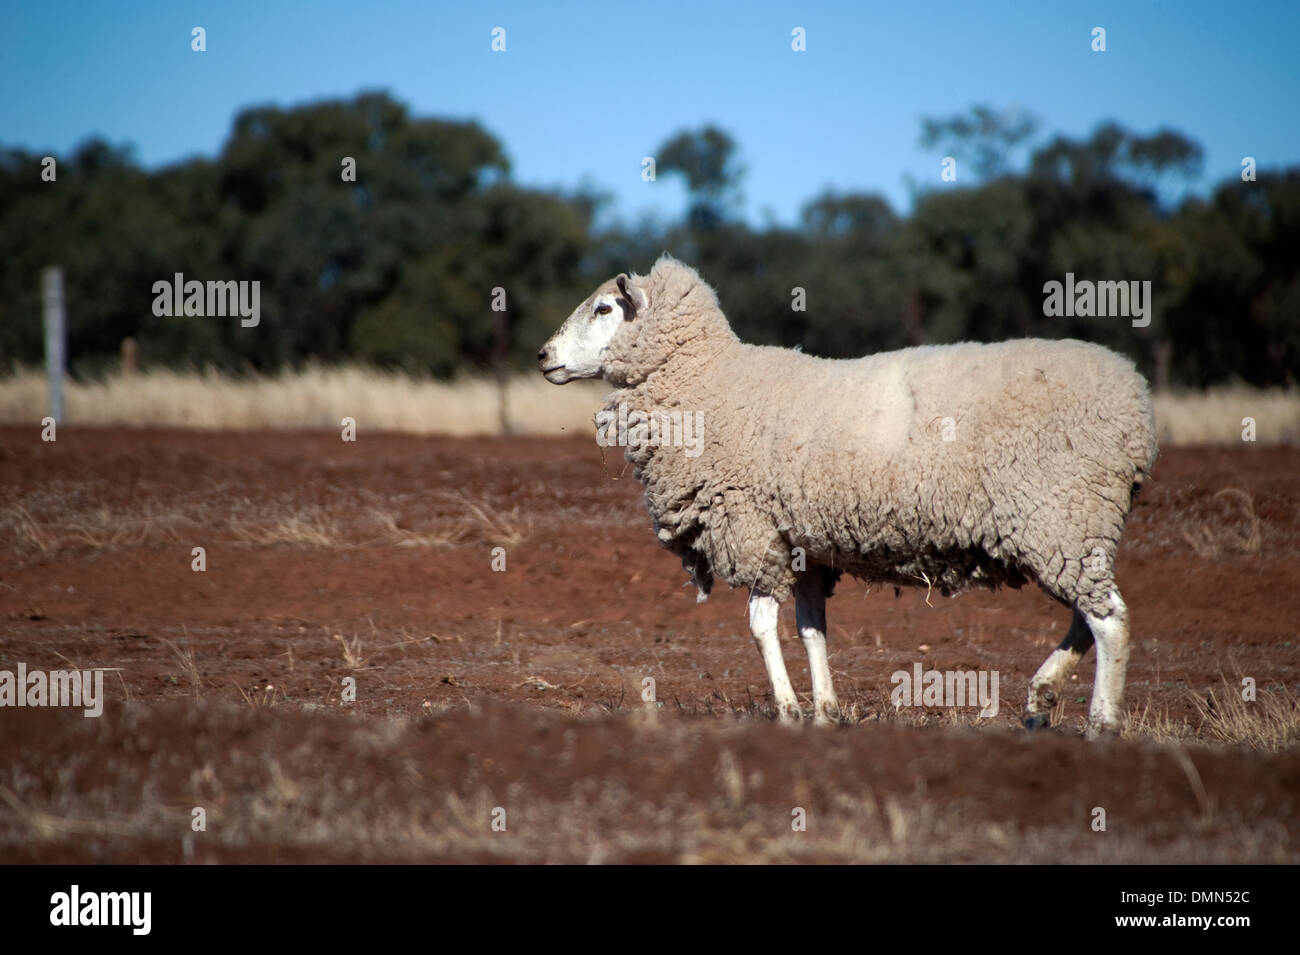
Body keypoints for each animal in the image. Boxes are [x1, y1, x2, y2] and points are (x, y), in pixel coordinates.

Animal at [538, 255, 1158, 737]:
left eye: (604, 309)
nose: (543, 356)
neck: (709, 383)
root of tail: (1137, 403)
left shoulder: (752, 529)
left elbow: (760, 624)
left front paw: (789, 710)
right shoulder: (803, 545)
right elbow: (811, 628)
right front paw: (826, 711)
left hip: (1059, 515)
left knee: (1111, 621)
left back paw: (1101, 723)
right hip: (1070, 528)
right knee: (1087, 617)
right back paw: (1041, 699)